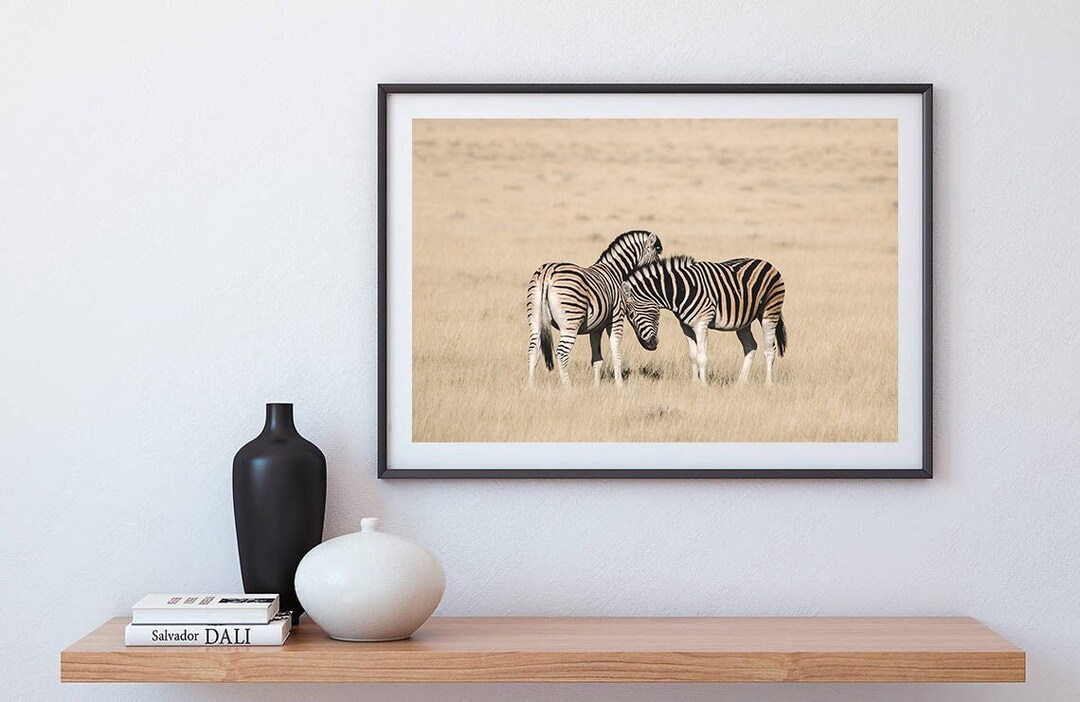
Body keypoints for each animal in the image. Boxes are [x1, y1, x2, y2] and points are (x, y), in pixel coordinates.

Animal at [527, 230, 663, 387]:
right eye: (655, 260)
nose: (654, 343)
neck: (616, 272)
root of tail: (547, 273)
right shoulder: (616, 319)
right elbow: (616, 353)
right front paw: (620, 385)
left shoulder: (596, 328)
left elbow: (597, 359)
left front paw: (596, 386)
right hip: (570, 322)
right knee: (561, 353)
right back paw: (568, 387)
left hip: (535, 320)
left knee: (533, 351)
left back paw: (530, 387)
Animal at [621, 255, 787, 385]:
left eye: (632, 315)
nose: (649, 345)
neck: (680, 290)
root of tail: (766, 263)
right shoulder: (686, 326)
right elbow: (693, 355)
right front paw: (694, 383)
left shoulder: (701, 324)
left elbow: (701, 356)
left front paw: (703, 386)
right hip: (743, 322)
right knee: (750, 346)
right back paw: (740, 383)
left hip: (769, 313)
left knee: (769, 350)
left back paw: (768, 384)